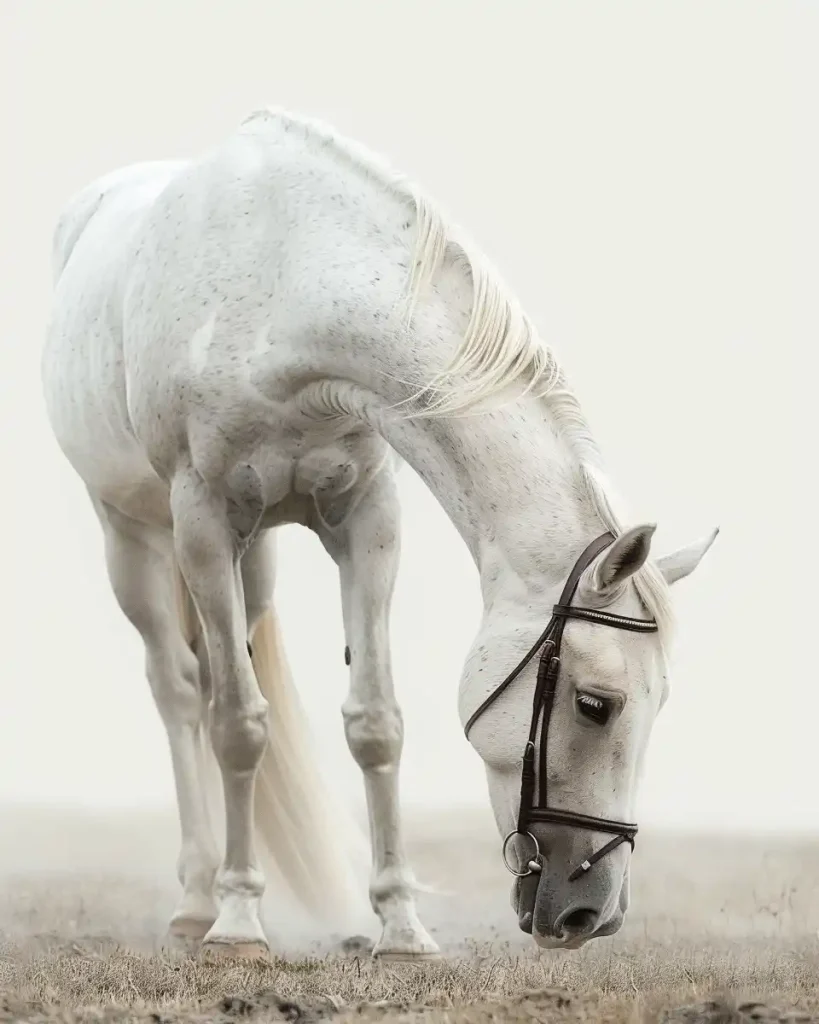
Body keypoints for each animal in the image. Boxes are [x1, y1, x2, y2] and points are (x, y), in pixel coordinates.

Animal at [41, 107, 717, 960]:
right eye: (597, 704)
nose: (592, 914)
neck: (282, 278)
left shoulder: (366, 521)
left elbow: (375, 724)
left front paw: (400, 924)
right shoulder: (201, 521)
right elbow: (236, 724)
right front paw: (238, 922)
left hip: (253, 556)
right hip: (134, 537)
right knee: (180, 691)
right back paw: (197, 901)